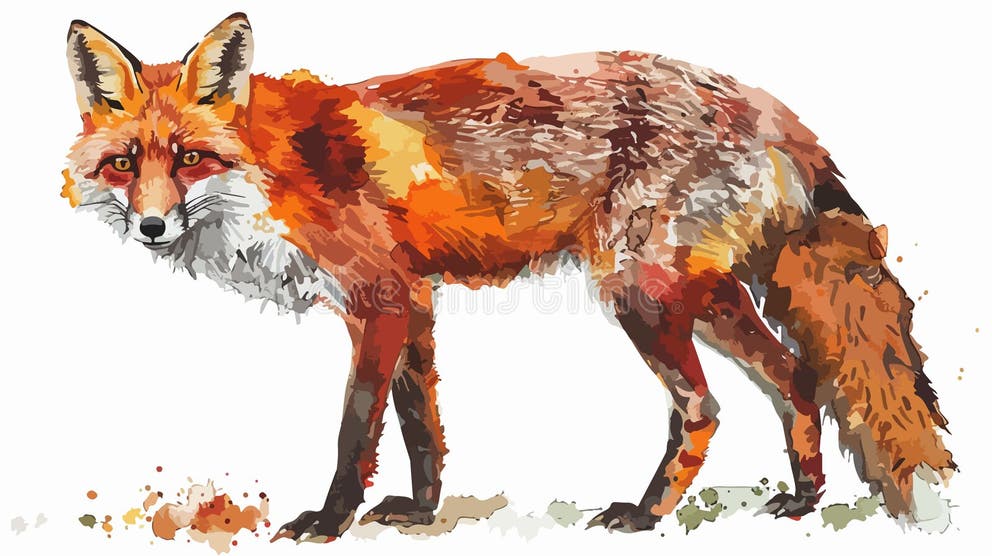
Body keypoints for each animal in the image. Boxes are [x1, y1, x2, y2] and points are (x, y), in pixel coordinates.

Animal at [62, 13, 954, 541]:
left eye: (188, 158)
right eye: (124, 164)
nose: (150, 226)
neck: (274, 176)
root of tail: (768, 106)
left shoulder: (379, 298)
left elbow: (357, 429)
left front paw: (330, 520)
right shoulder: (414, 299)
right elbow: (421, 424)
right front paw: (419, 511)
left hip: (643, 293)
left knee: (704, 406)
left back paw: (645, 513)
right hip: (697, 290)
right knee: (797, 374)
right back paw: (802, 497)